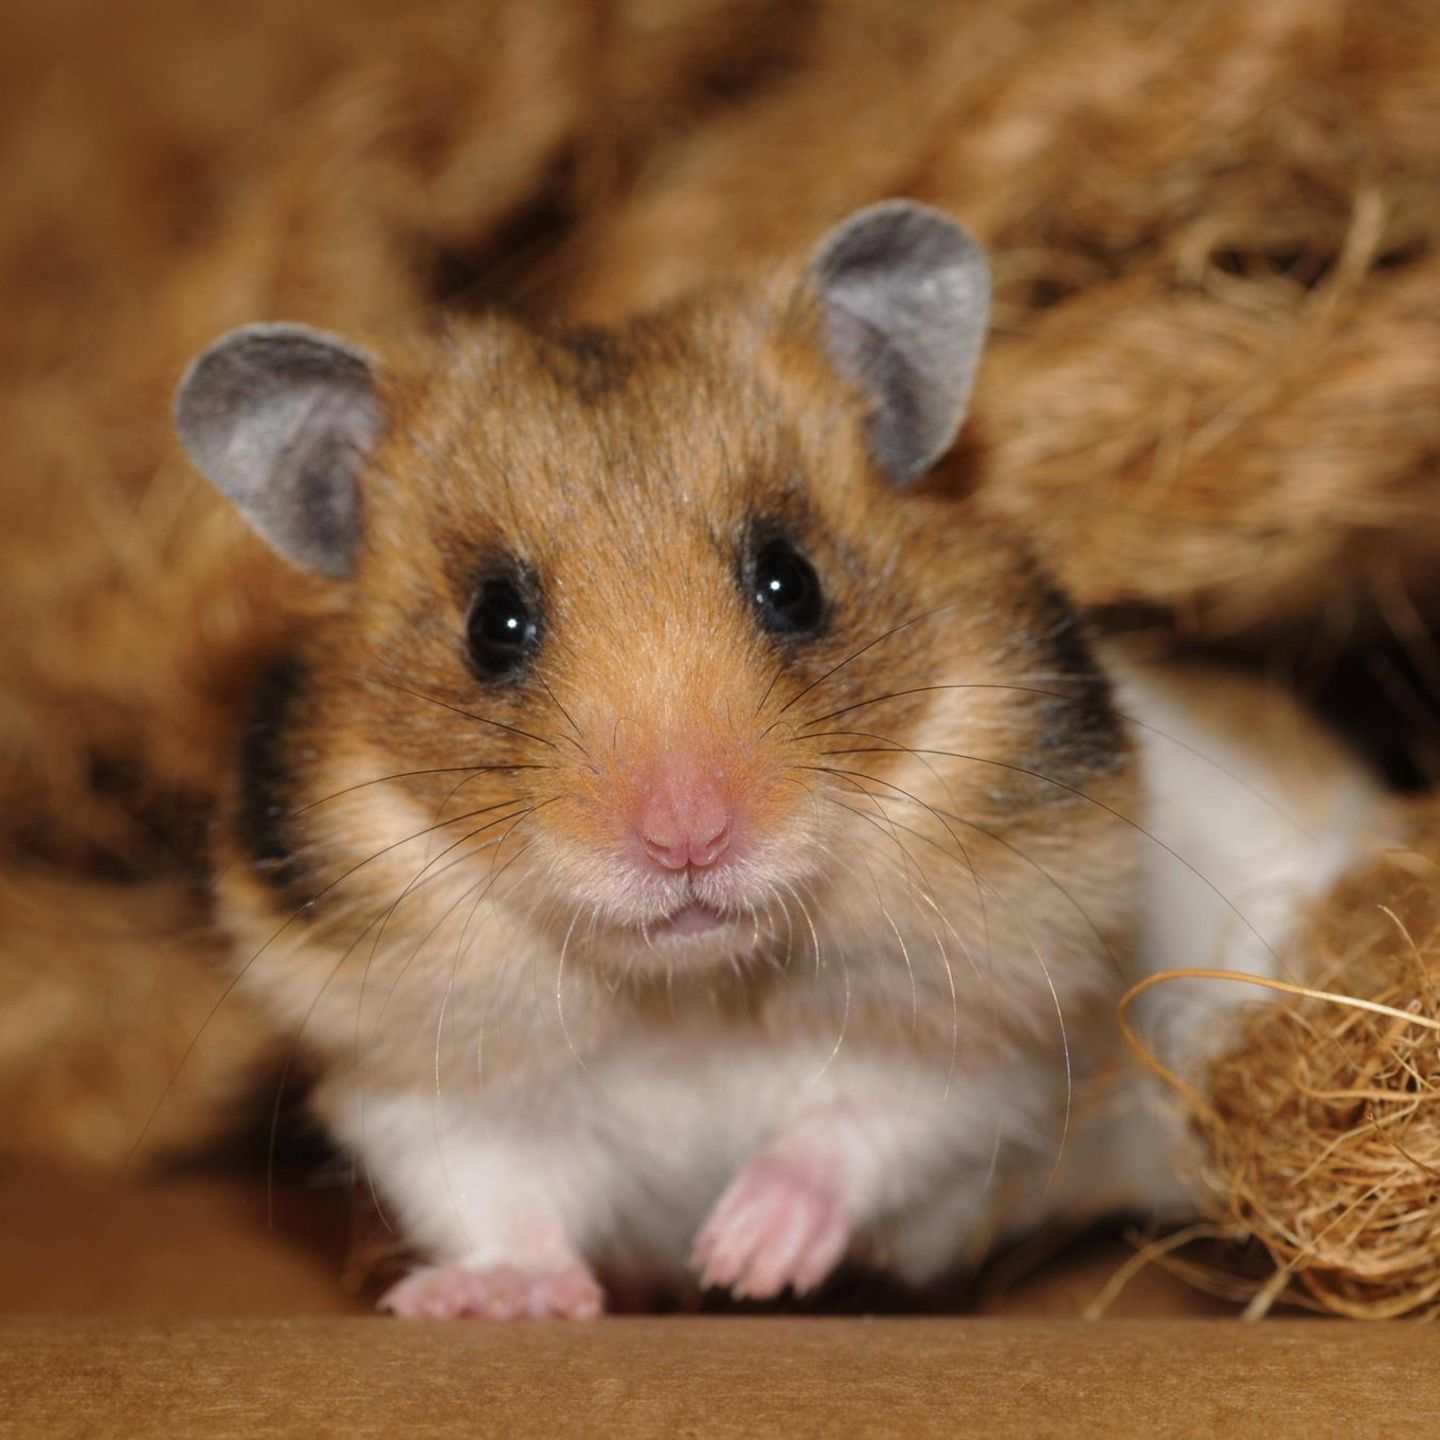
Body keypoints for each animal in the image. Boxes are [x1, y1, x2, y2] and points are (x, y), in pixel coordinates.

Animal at [173, 201, 1387, 1318]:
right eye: (492, 626)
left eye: (791, 580)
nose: (688, 839)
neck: (690, 990)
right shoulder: (416, 1082)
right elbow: (497, 1200)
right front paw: (482, 1301)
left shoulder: (990, 1044)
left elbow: (860, 1127)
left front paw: (744, 1257)